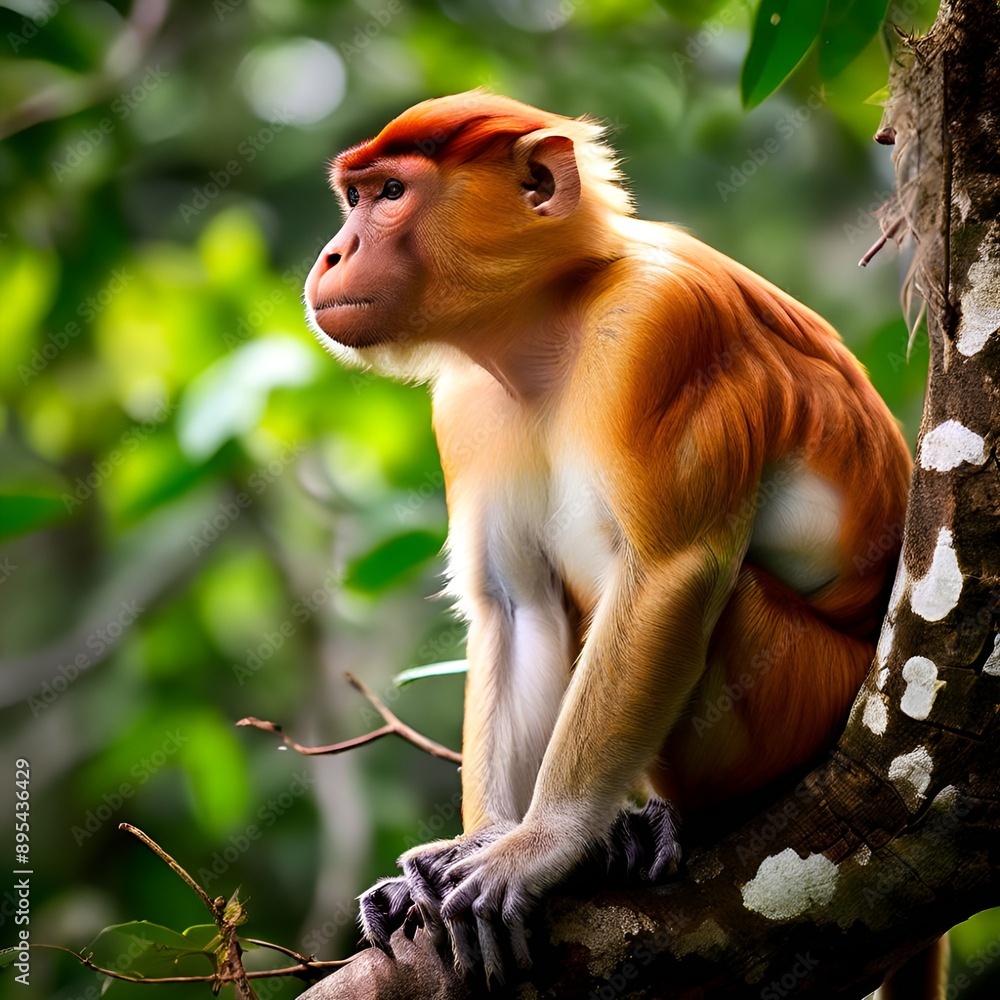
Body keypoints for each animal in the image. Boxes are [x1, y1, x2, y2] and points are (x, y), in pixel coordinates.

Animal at [303, 91, 912, 984]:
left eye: (389, 193)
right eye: (354, 196)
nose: (333, 252)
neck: (556, 316)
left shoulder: (658, 326)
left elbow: (671, 572)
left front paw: (538, 848)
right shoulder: (468, 402)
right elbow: (516, 609)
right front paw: (481, 841)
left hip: (807, 690)